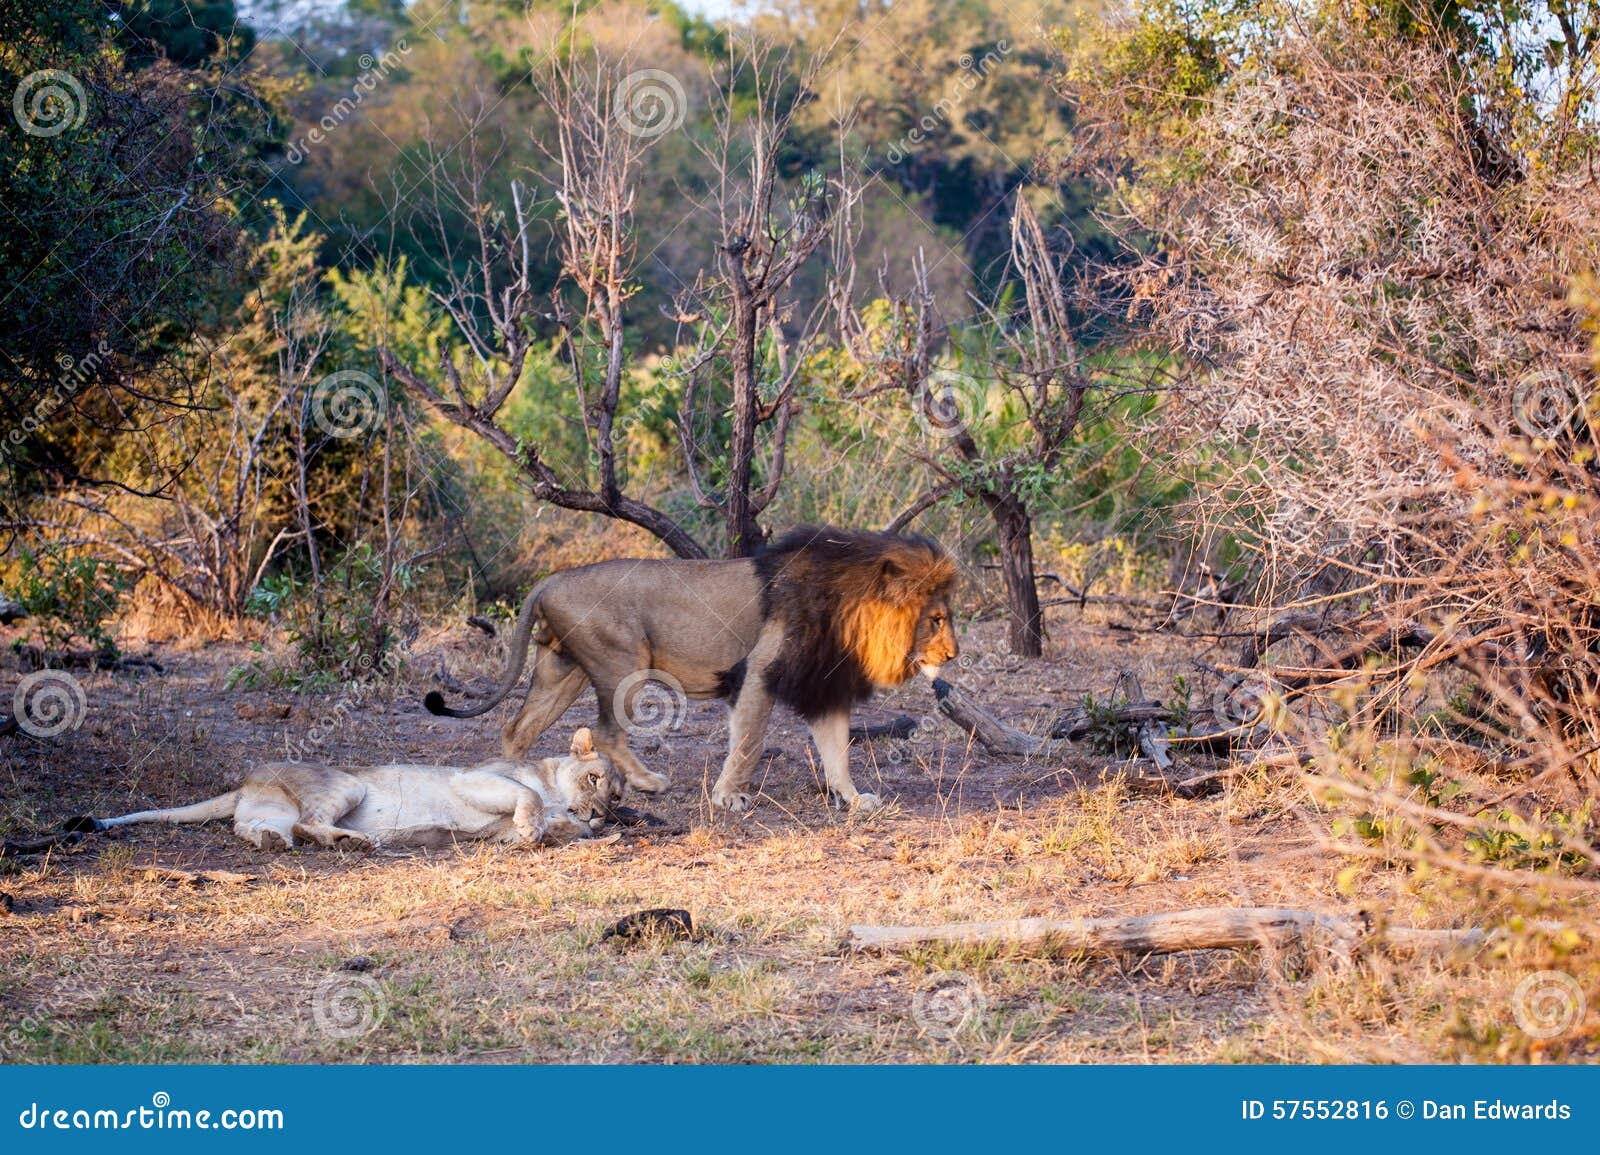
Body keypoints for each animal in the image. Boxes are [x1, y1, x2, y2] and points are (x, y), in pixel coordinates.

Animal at [425, 526, 960, 814]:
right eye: (936, 620)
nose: (954, 654)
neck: (850, 610)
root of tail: (551, 578)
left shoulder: (822, 686)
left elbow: (837, 754)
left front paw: (852, 799)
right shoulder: (760, 671)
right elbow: (748, 742)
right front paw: (728, 797)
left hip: (563, 672)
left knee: (518, 728)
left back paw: (519, 779)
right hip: (624, 663)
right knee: (605, 731)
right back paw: (647, 783)